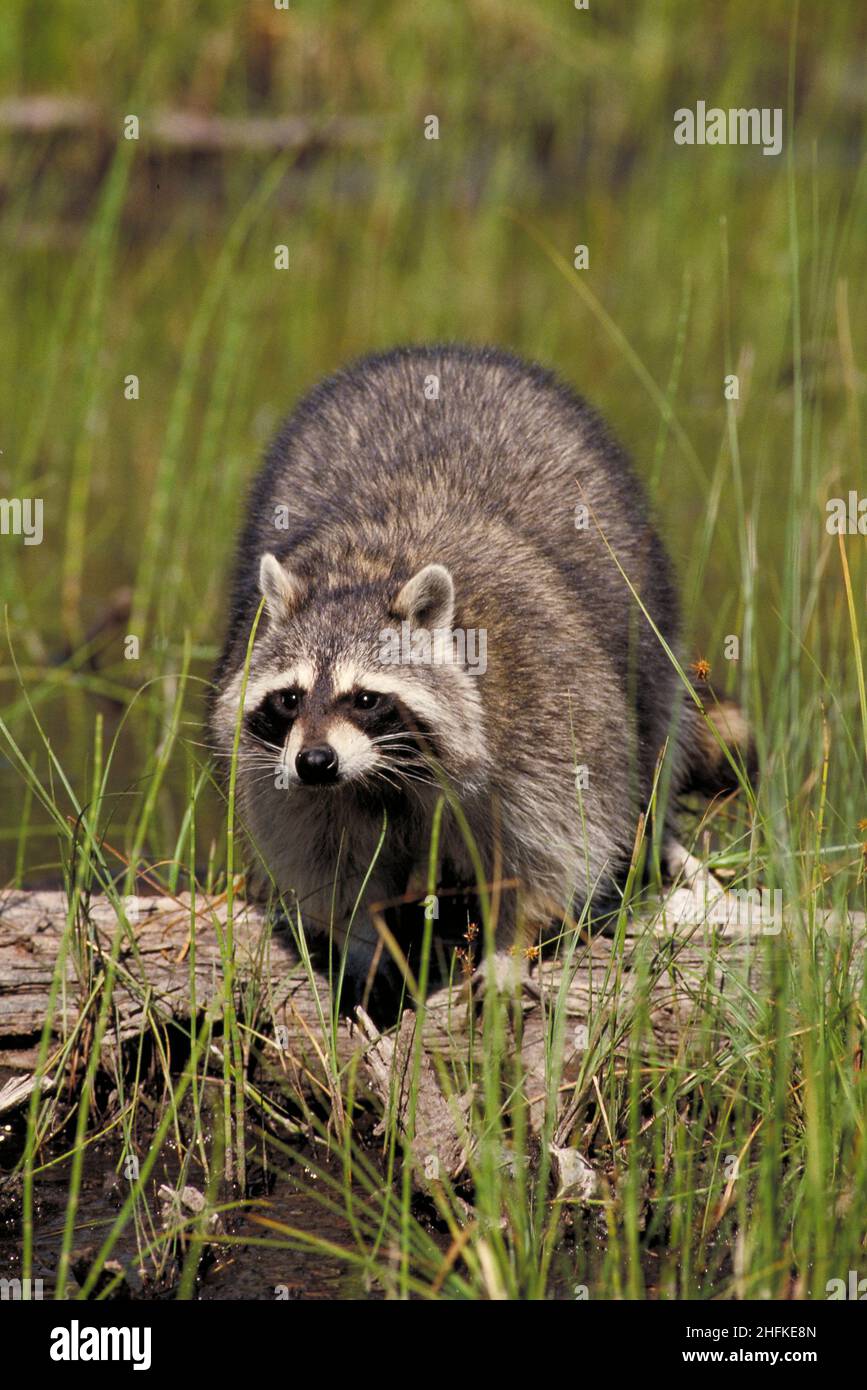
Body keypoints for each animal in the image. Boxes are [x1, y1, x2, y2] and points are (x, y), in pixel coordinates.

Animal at [210, 345, 751, 986]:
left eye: (365, 698)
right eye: (290, 698)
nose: (316, 762)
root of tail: (436, 352)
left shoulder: (545, 703)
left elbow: (559, 845)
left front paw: (509, 944)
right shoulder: (280, 772)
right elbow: (322, 860)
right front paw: (367, 944)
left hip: (642, 589)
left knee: (653, 726)